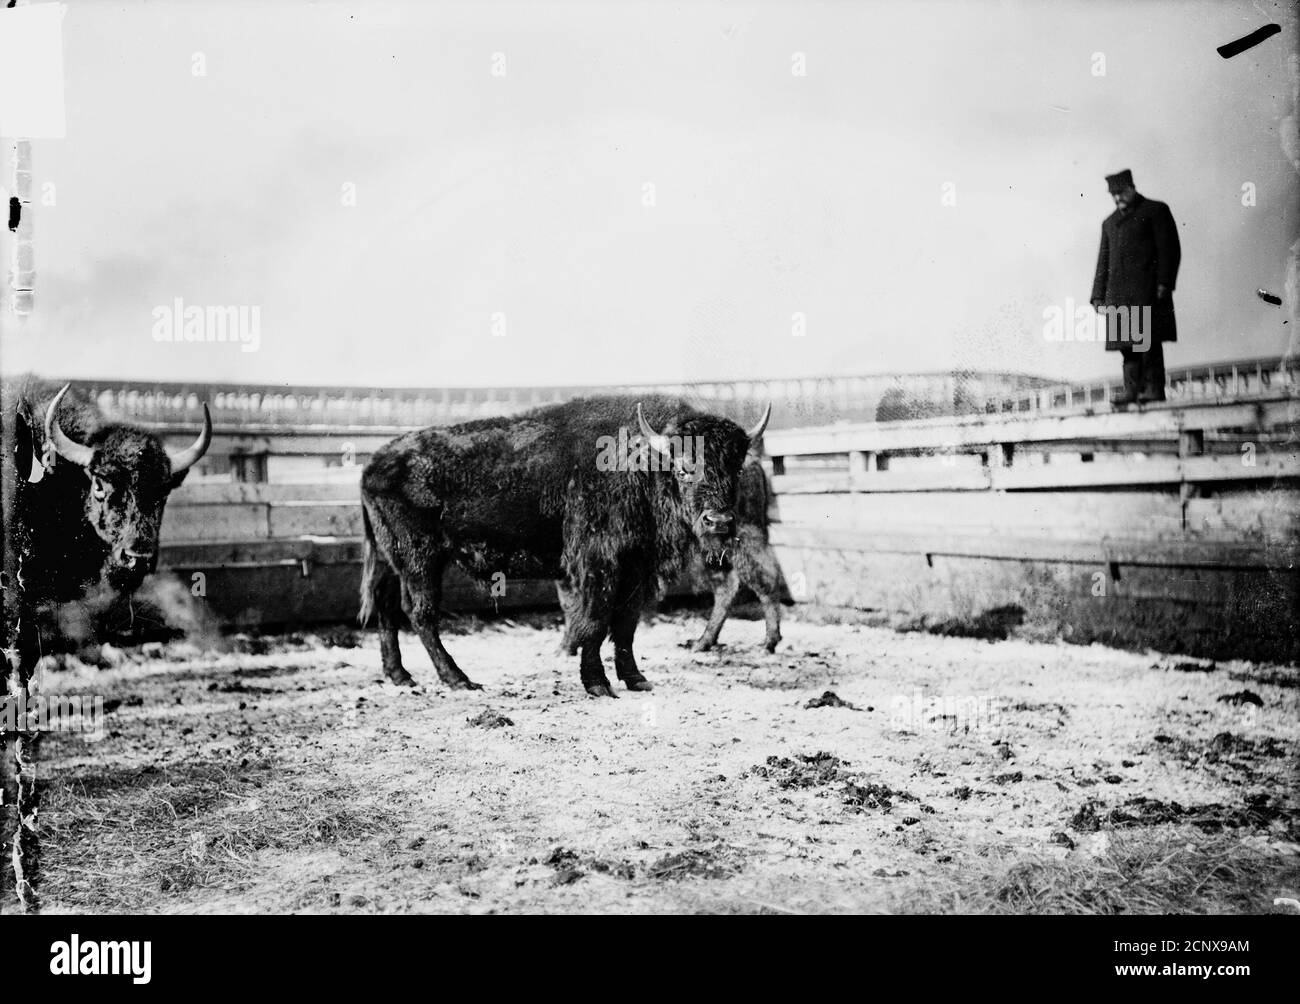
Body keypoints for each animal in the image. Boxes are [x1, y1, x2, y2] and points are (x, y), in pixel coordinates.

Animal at [557, 450, 791, 654]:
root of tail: (753, 458)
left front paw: (568, 646)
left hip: (740, 536)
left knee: (763, 578)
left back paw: (767, 644)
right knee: (728, 584)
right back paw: (702, 642)